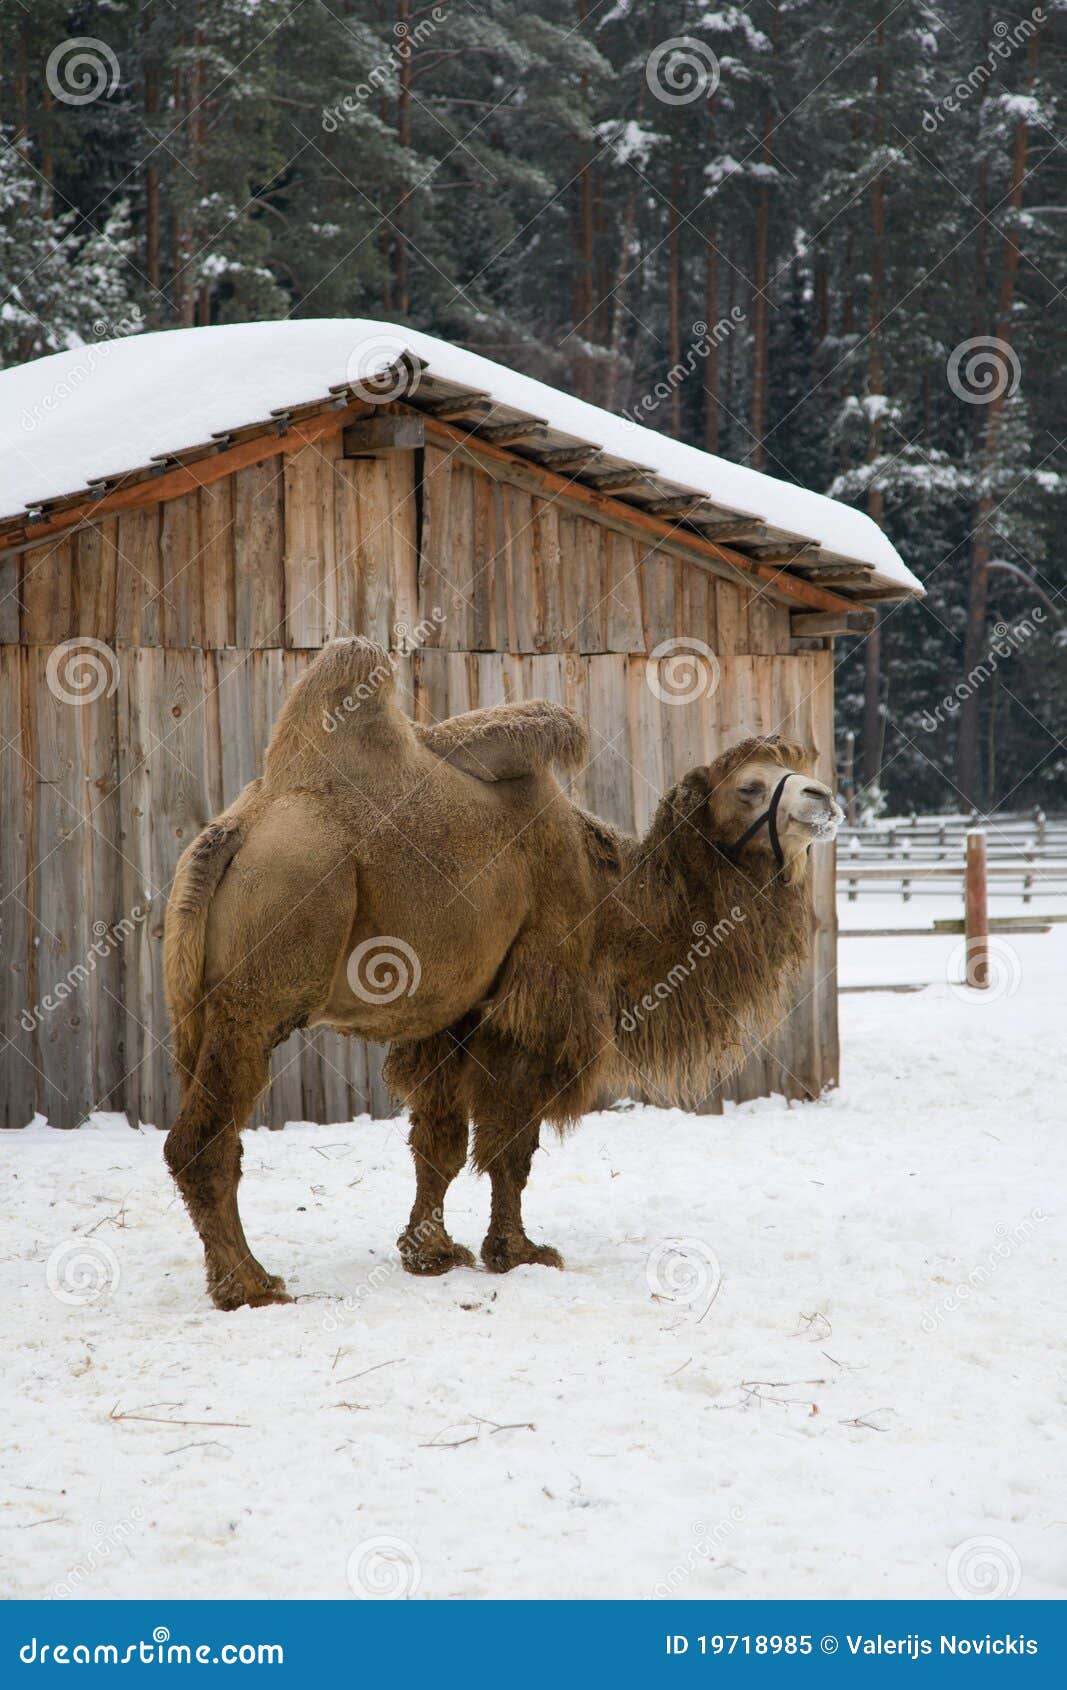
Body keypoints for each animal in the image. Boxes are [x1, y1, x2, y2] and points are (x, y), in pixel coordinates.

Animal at [163, 636, 841, 1309]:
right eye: (749, 786)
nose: (823, 798)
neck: (608, 897)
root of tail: (233, 833)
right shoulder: (536, 1003)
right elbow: (512, 1149)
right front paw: (519, 1253)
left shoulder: (452, 1013)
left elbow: (437, 1143)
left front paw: (431, 1254)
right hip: (264, 977)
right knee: (200, 1142)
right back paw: (250, 1285)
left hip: (206, 1005)